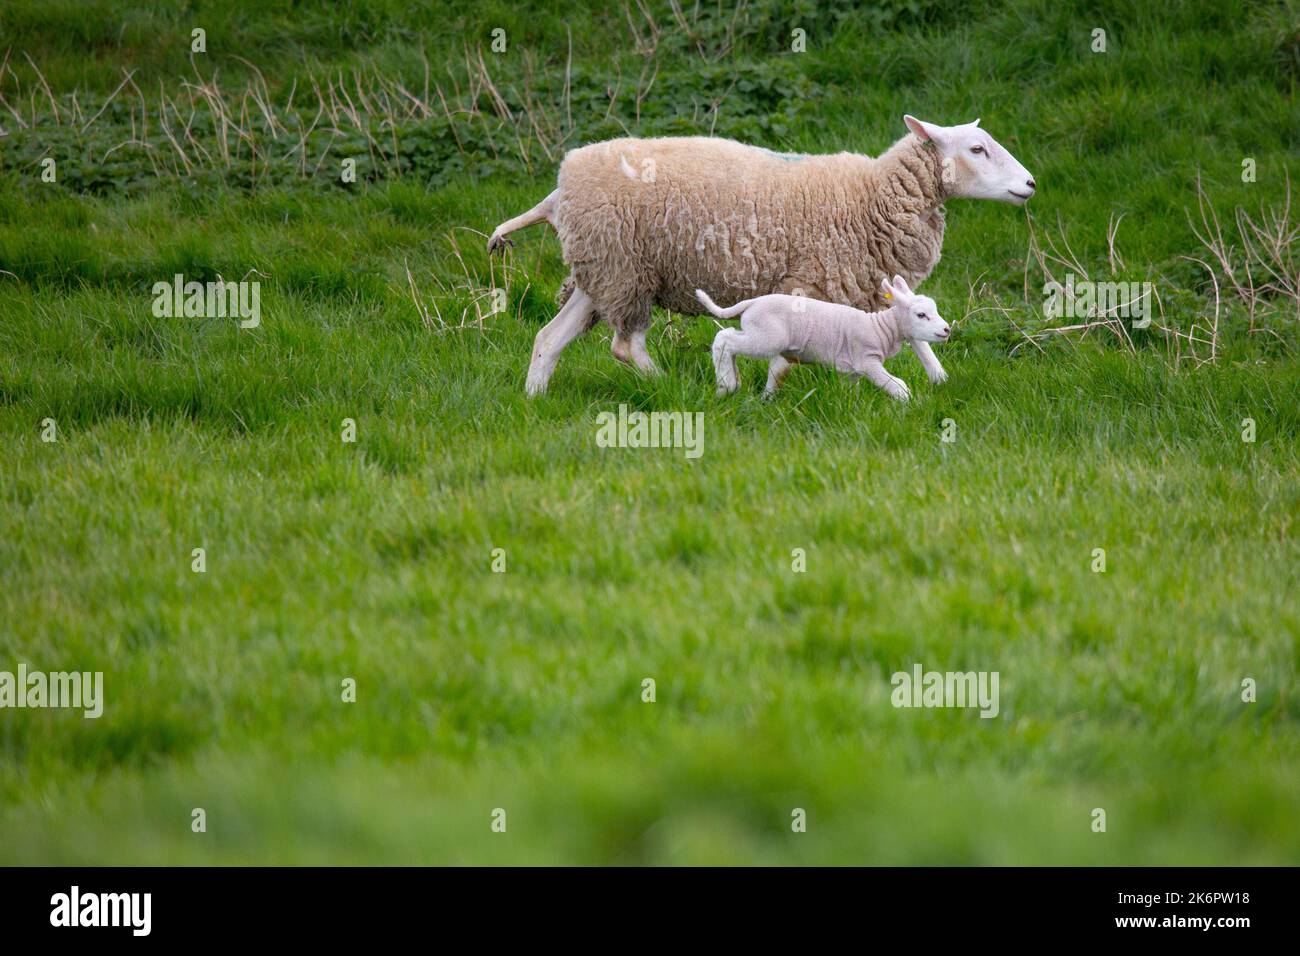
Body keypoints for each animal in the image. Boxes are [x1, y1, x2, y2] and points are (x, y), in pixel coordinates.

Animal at [697, 275, 949, 401]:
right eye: (921, 315)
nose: (947, 330)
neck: (882, 328)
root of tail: (752, 302)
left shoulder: (852, 370)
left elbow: (851, 391)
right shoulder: (866, 360)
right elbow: (897, 386)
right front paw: (908, 404)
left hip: (758, 333)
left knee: (730, 340)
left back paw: (735, 384)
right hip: (767, 338)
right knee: (724, 339)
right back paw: (727, 385)